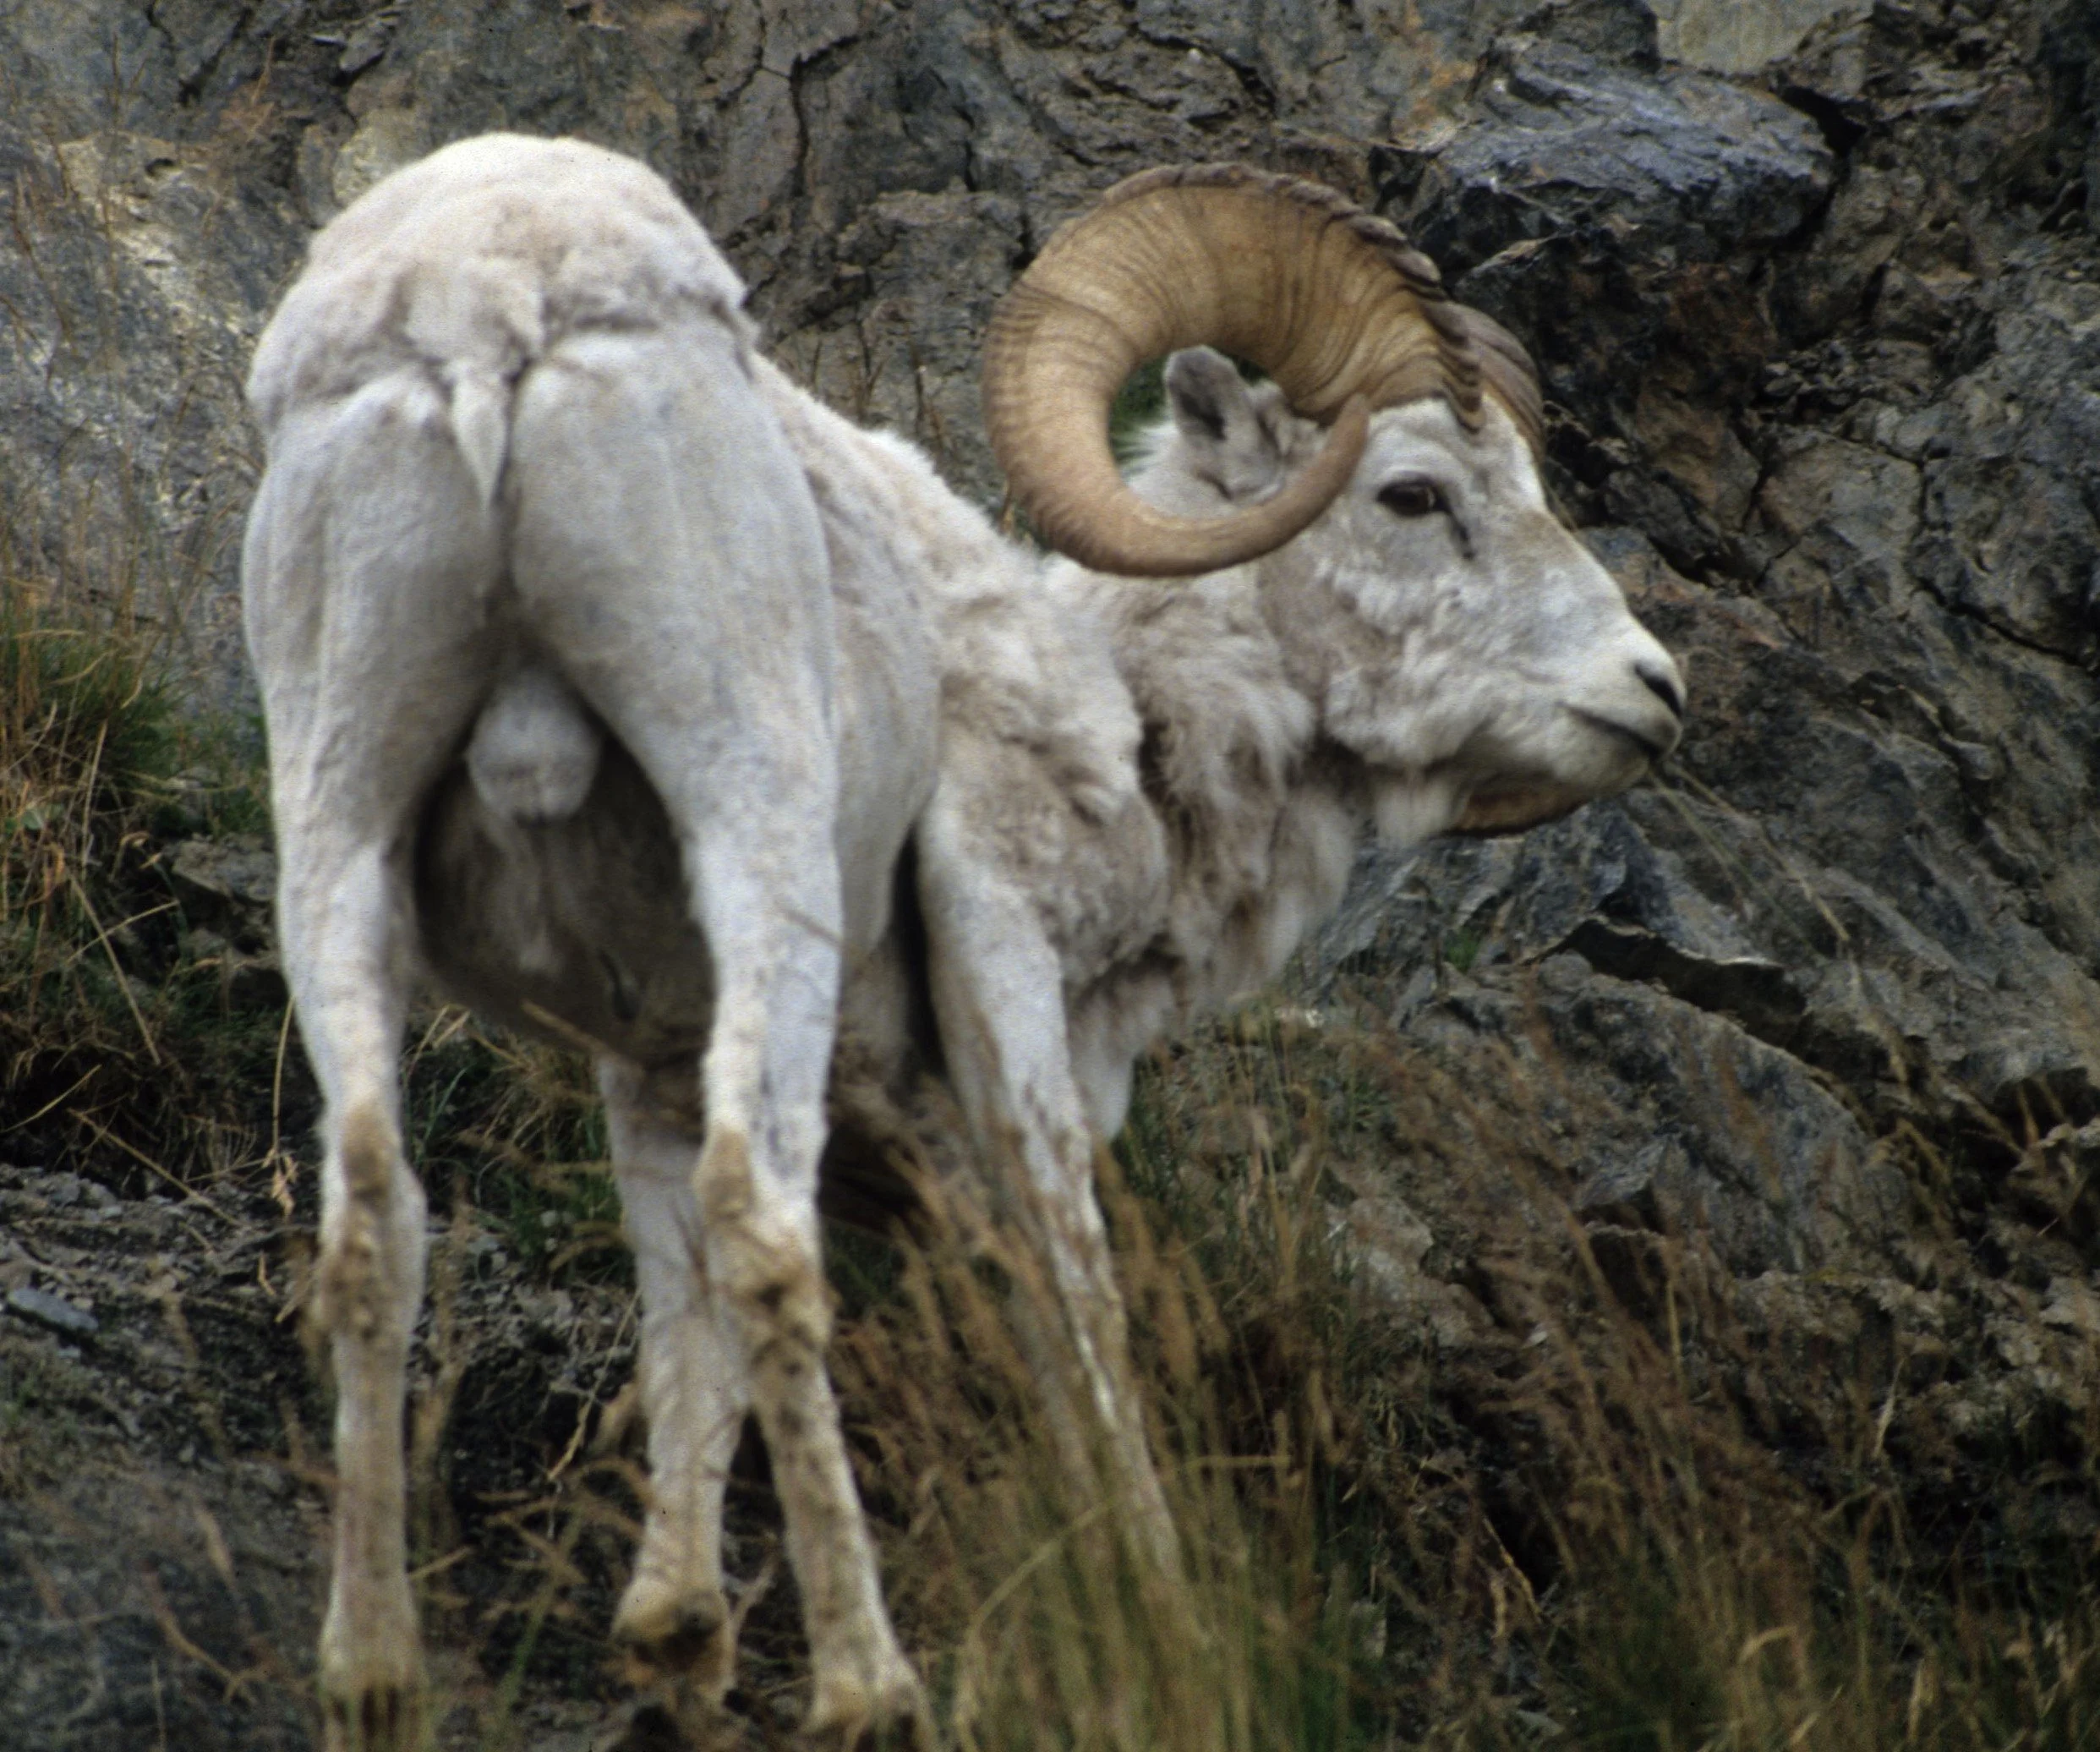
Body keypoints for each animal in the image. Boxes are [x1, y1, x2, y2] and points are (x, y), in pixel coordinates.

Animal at [246, 134, 1683, 1751]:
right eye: (1414, 492)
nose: (1651, 689)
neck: (1132, 736)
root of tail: (492, 309)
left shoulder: (652, 1059)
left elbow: (685, 1325)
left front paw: (676, 1639)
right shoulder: (998, 956)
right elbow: (1071, 1295)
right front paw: (1162, 1611)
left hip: (339, 830)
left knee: (377, 1220)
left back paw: (373, 1674)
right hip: (757, 827)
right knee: (764, 1221)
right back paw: (869, 1687)